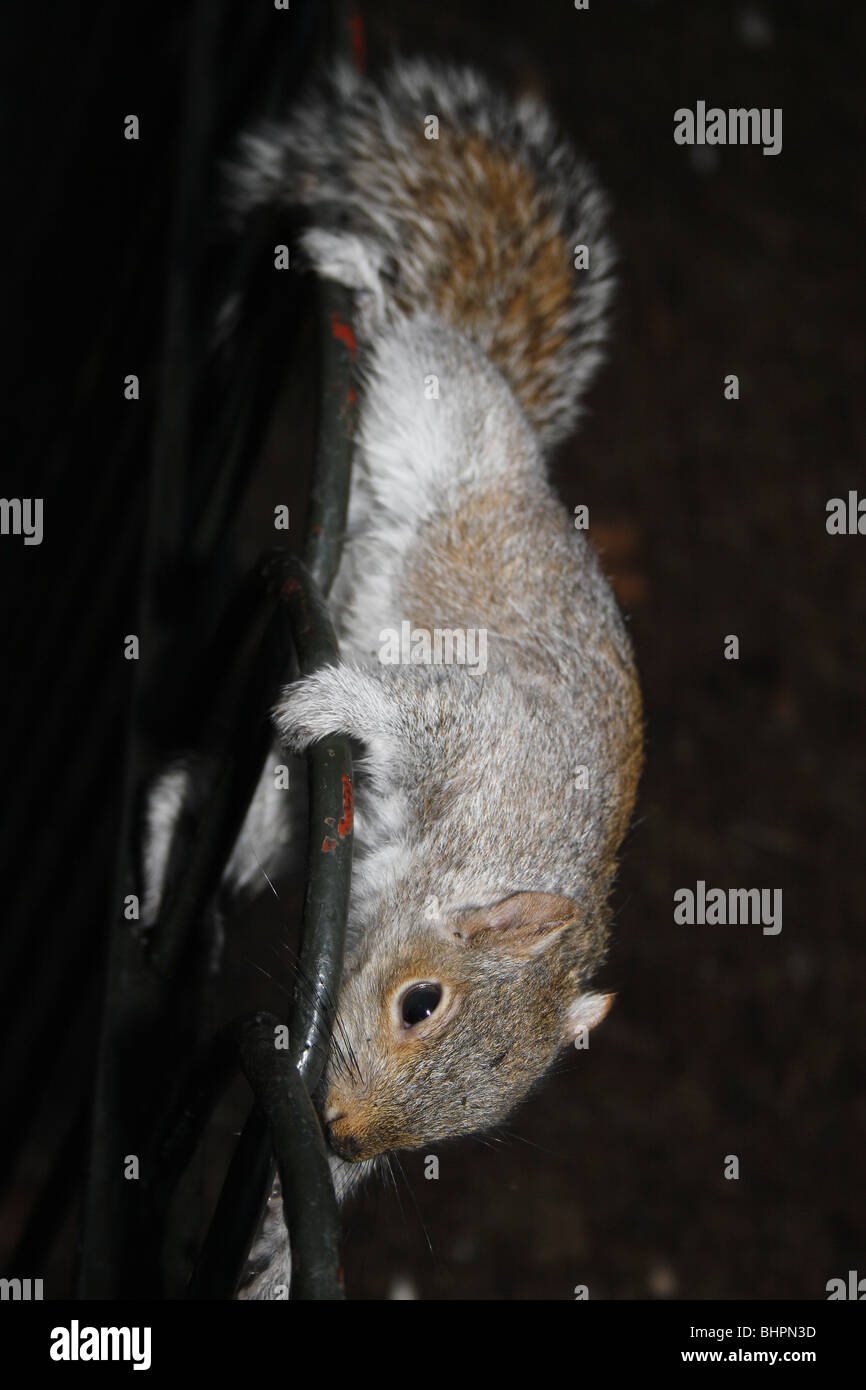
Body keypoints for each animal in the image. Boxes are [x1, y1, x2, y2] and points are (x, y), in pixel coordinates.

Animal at [149, 56, 644, 1297]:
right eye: (419, 1002)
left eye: (482, 1118)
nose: (341, 1134)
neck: (480, 856)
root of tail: (524, 453)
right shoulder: (478, 723)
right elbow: (405, 707)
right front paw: (343, 697)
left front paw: (278, 1247)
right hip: (432, 417)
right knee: (400, 347)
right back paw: (366, 282)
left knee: (221, 806)